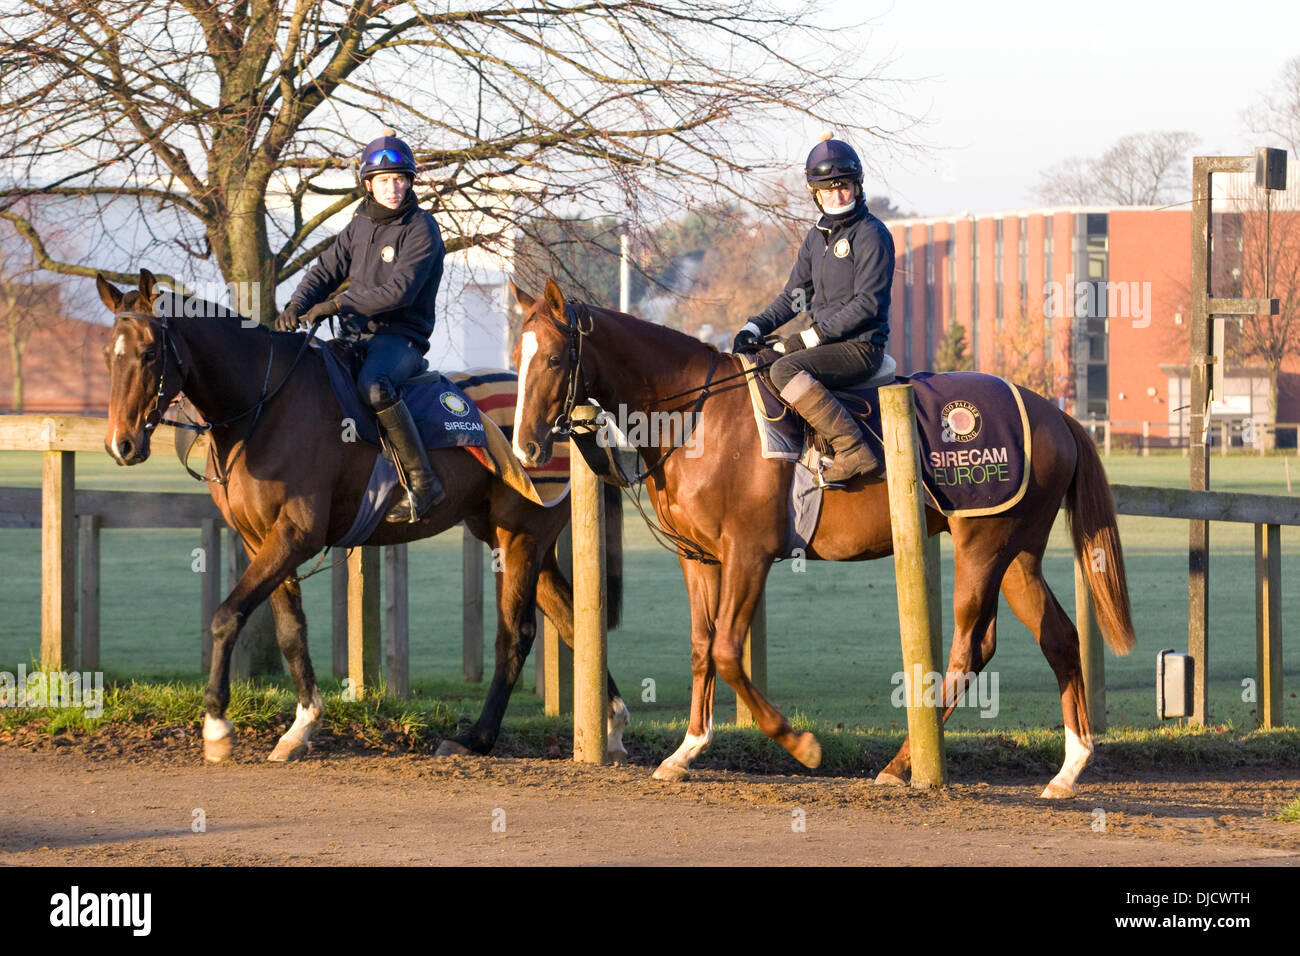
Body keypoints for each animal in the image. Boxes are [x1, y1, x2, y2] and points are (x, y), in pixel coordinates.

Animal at [96, 269, 629, 764]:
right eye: (109, 357)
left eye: (149, 354)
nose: (122, 444)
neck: (266, 408)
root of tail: (561, 422)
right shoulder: (260, 539)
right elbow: (290, 630)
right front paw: (301, 726)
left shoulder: (295, 536)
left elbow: (228, 616)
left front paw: (216, 727)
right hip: (515, 539)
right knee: (572, 621)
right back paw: (612, 725)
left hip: (519, 537)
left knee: (517, 634)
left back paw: (476, 738)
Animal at [509, 278, 1136, 798]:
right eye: (516, 358)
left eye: (556, 357)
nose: (528, 447)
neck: (698, 415)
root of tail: (1053, 413)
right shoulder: (700, 559)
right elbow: (701, 649)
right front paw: (686, 750)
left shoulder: (749, 554)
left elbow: (728, 651)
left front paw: (800, 745)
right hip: (1018, 555)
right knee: (1059, 639)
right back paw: (1068, 769)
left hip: (983, 545)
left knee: (968, 650)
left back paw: (903, 766)